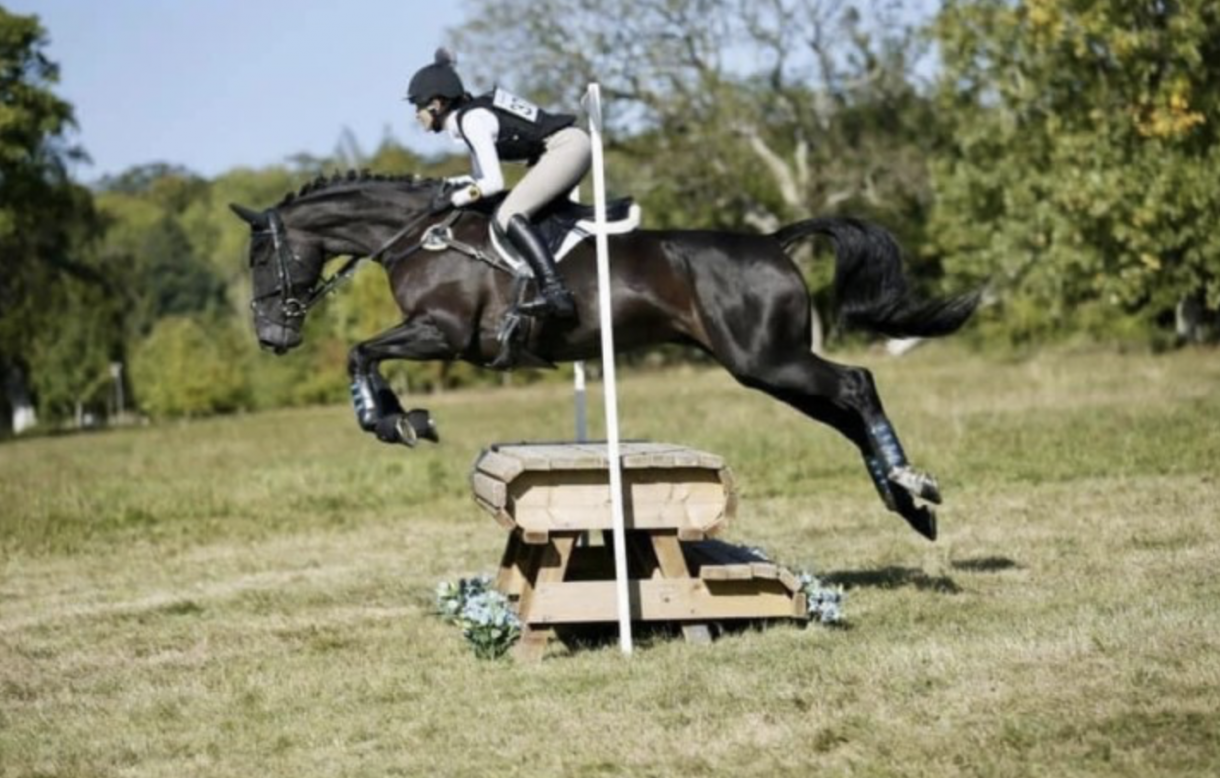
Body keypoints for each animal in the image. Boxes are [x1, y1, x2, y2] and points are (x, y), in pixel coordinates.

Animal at [230, 171, 979, 541]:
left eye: (262, 258)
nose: (271, 337)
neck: (418, 235)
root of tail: (773, 242)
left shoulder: (442, 331)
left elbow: (361, 353)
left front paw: (393, 421)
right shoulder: (434, 335)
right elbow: (366, 357)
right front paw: (403, 418)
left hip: (767, 358)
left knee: (855, 385)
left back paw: (913, 485)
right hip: (764, 366)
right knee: (843, 412)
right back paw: (907, 505)